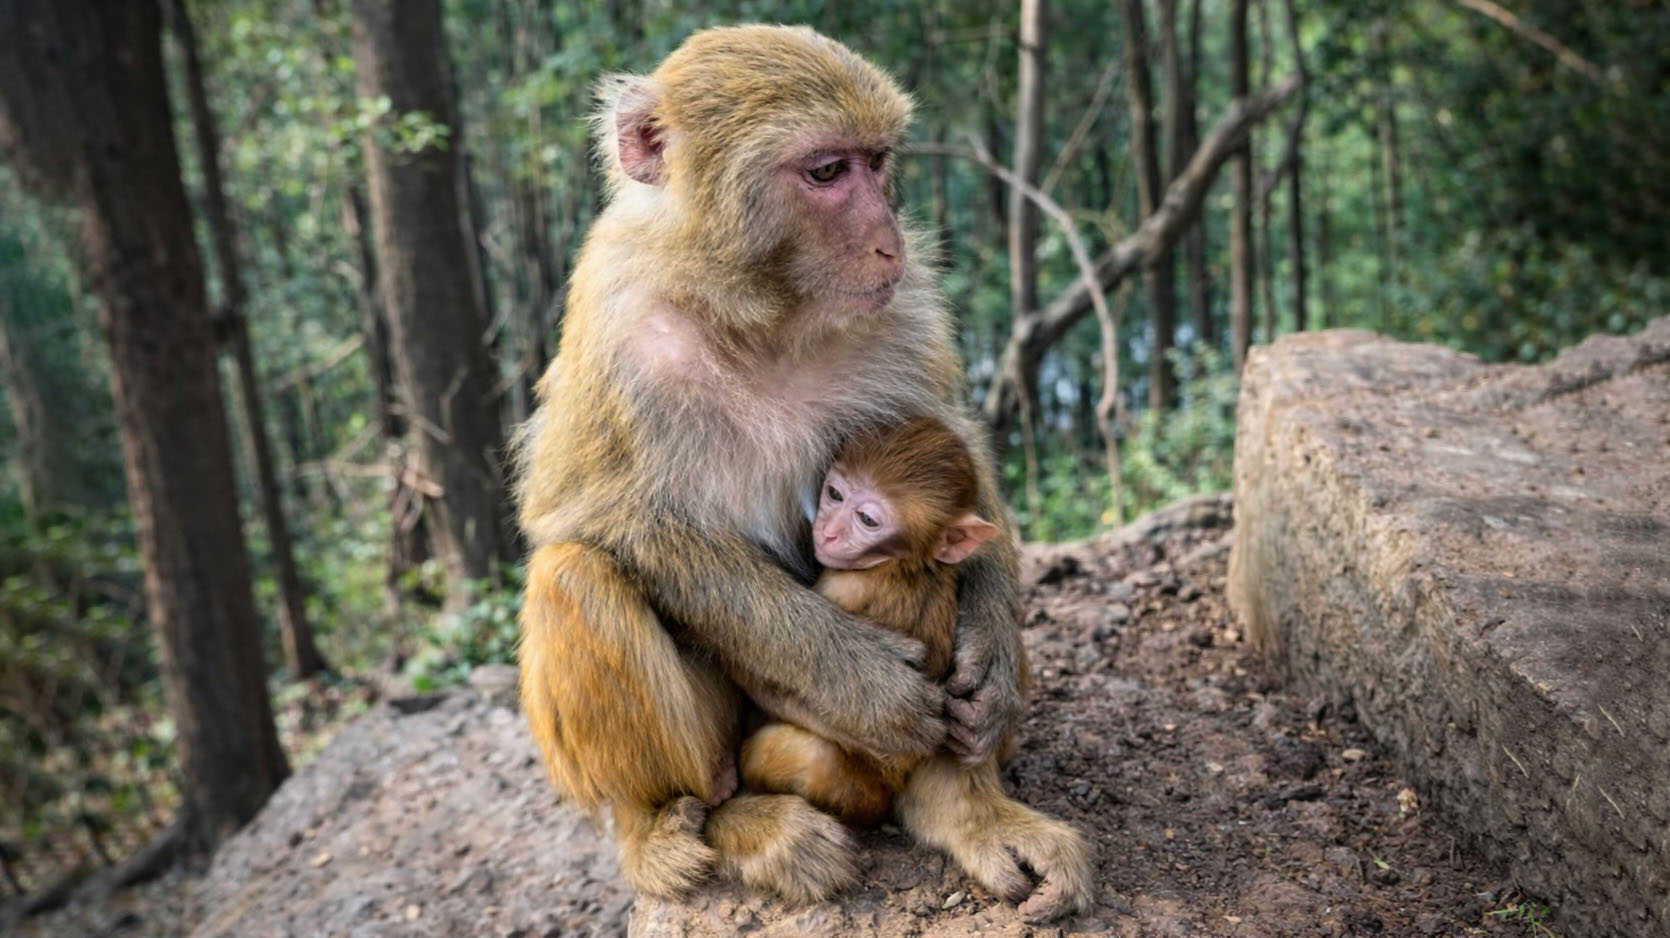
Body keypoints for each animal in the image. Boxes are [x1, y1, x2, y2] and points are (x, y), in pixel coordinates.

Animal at [514, 25, 1090, 921]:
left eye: (876, 161)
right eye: (825, 173)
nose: (889, 239)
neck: (764, 311)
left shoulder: (905, 302)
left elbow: (955, 440)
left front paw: (990, 651)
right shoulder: (613, 313)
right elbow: (593, 515)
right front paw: (860, 685)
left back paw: (966, 807)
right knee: (573, 575)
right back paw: (688, 828)